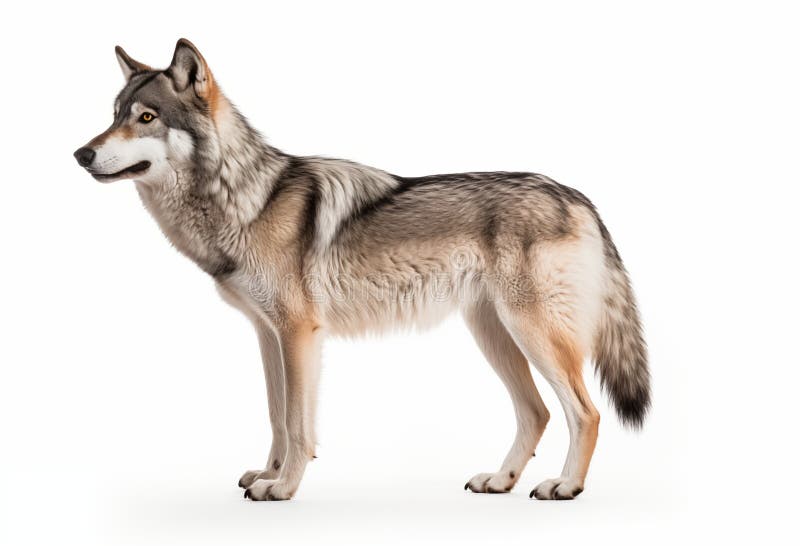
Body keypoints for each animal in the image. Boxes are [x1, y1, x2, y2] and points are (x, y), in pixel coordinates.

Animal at [74, 39, 650, 501]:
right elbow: (276, 416)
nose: (81, 154)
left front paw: (283, 488)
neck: (246, 198)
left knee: (585, 412)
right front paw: (269, 473)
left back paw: (566, 486)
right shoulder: (268, 334)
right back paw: (500, 480)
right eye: (114, 114)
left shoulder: (299, 334)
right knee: (537, 412)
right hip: (495, 334)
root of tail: (578, 196)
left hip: (532, 334)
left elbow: (298, 424)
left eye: (147, 118)